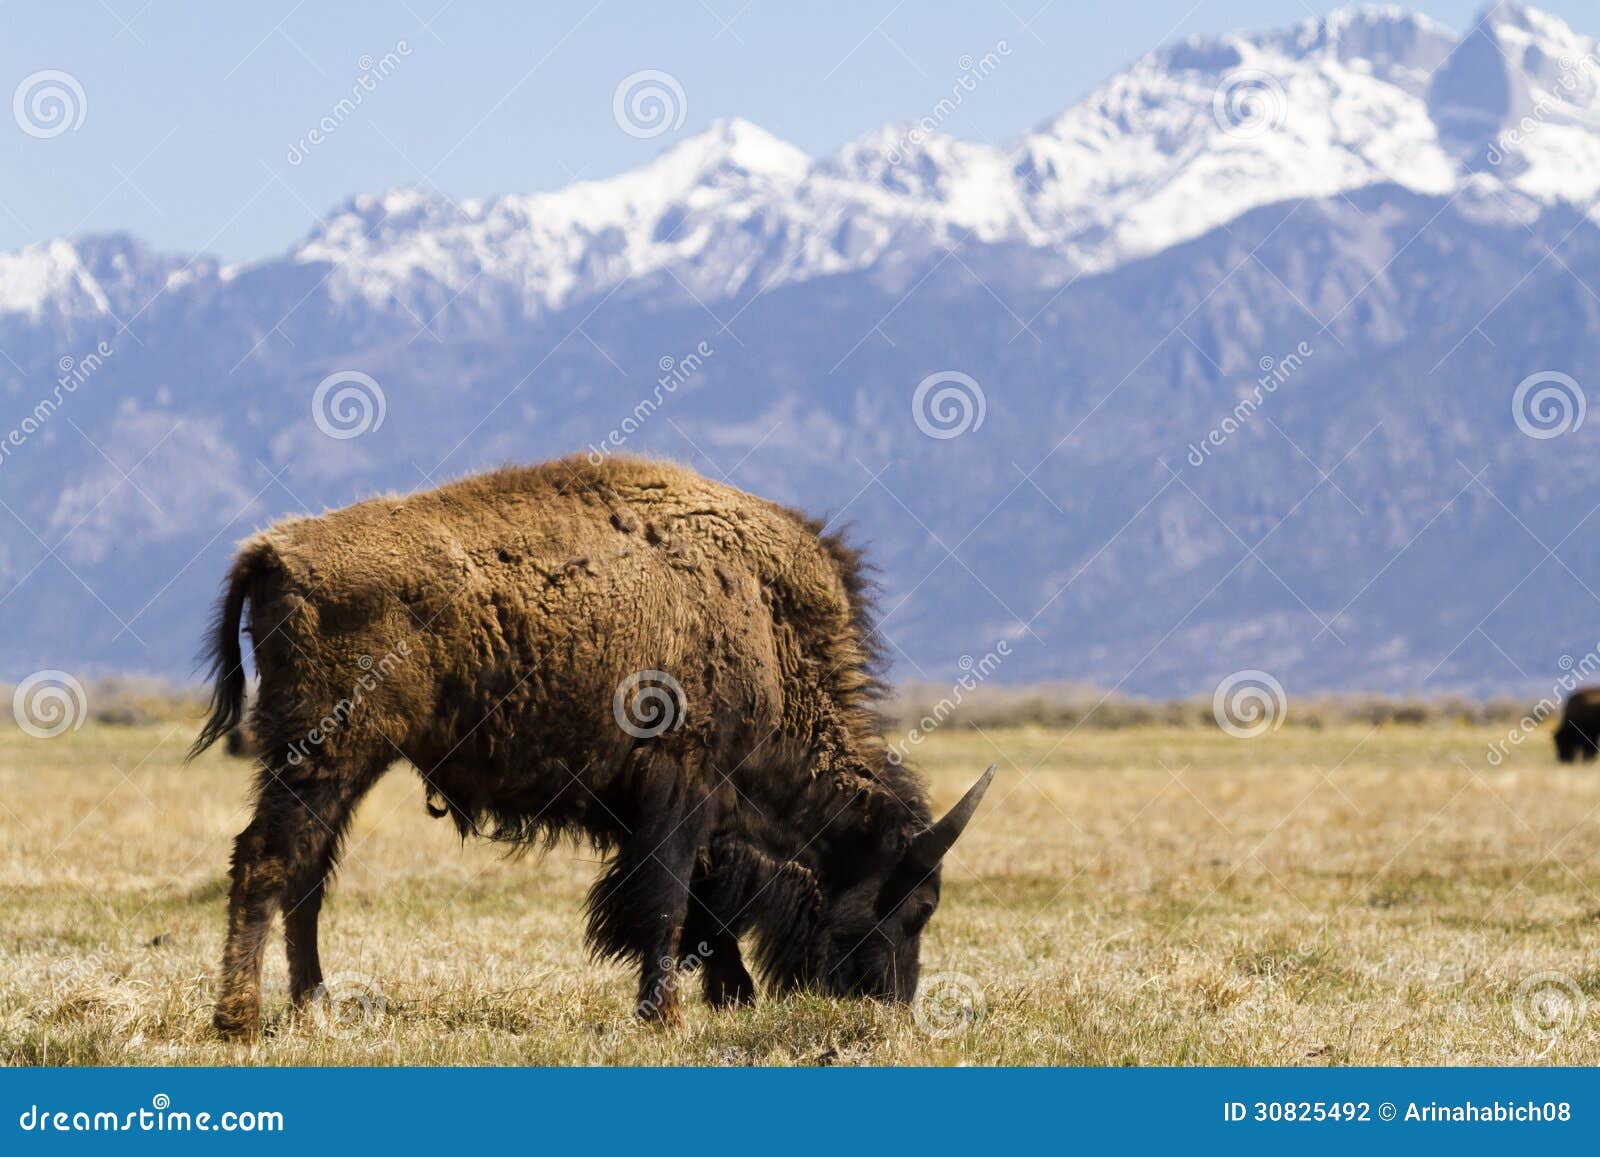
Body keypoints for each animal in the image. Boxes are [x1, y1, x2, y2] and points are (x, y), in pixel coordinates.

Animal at [191, 454, 993, 1039]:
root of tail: (273, 550)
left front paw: (727, 995)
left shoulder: (682, 810)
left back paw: (313, 1008)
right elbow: (667, 904)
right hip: (327, 754)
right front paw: (665, 1017)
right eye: (915, 906)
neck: (767, 629)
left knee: (307, 874)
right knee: (266, 862)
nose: (892, 1009)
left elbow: (700, 908)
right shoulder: (680, 790)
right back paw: (240, 1022)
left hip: (338, 766)